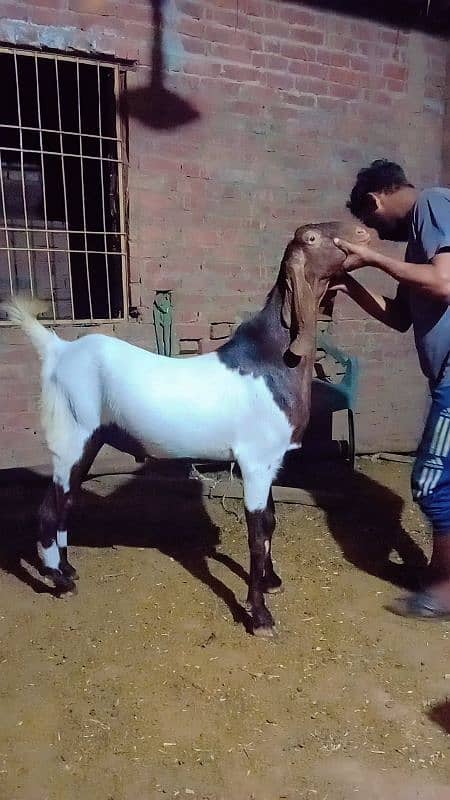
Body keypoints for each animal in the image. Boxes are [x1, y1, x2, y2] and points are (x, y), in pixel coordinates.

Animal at [2, 220, 369, 636]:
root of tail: (57, 350)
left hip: (88, 443)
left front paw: (272, 581)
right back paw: (60, 583)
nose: (365, 232)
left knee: (65, 503)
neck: (269, 361)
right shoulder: (255, 463)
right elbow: (257, 533)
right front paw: (260, 617)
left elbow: (271, 522)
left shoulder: (271, 463)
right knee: (49, 510)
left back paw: (66, 569)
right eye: (311, 237)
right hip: (70, 439)